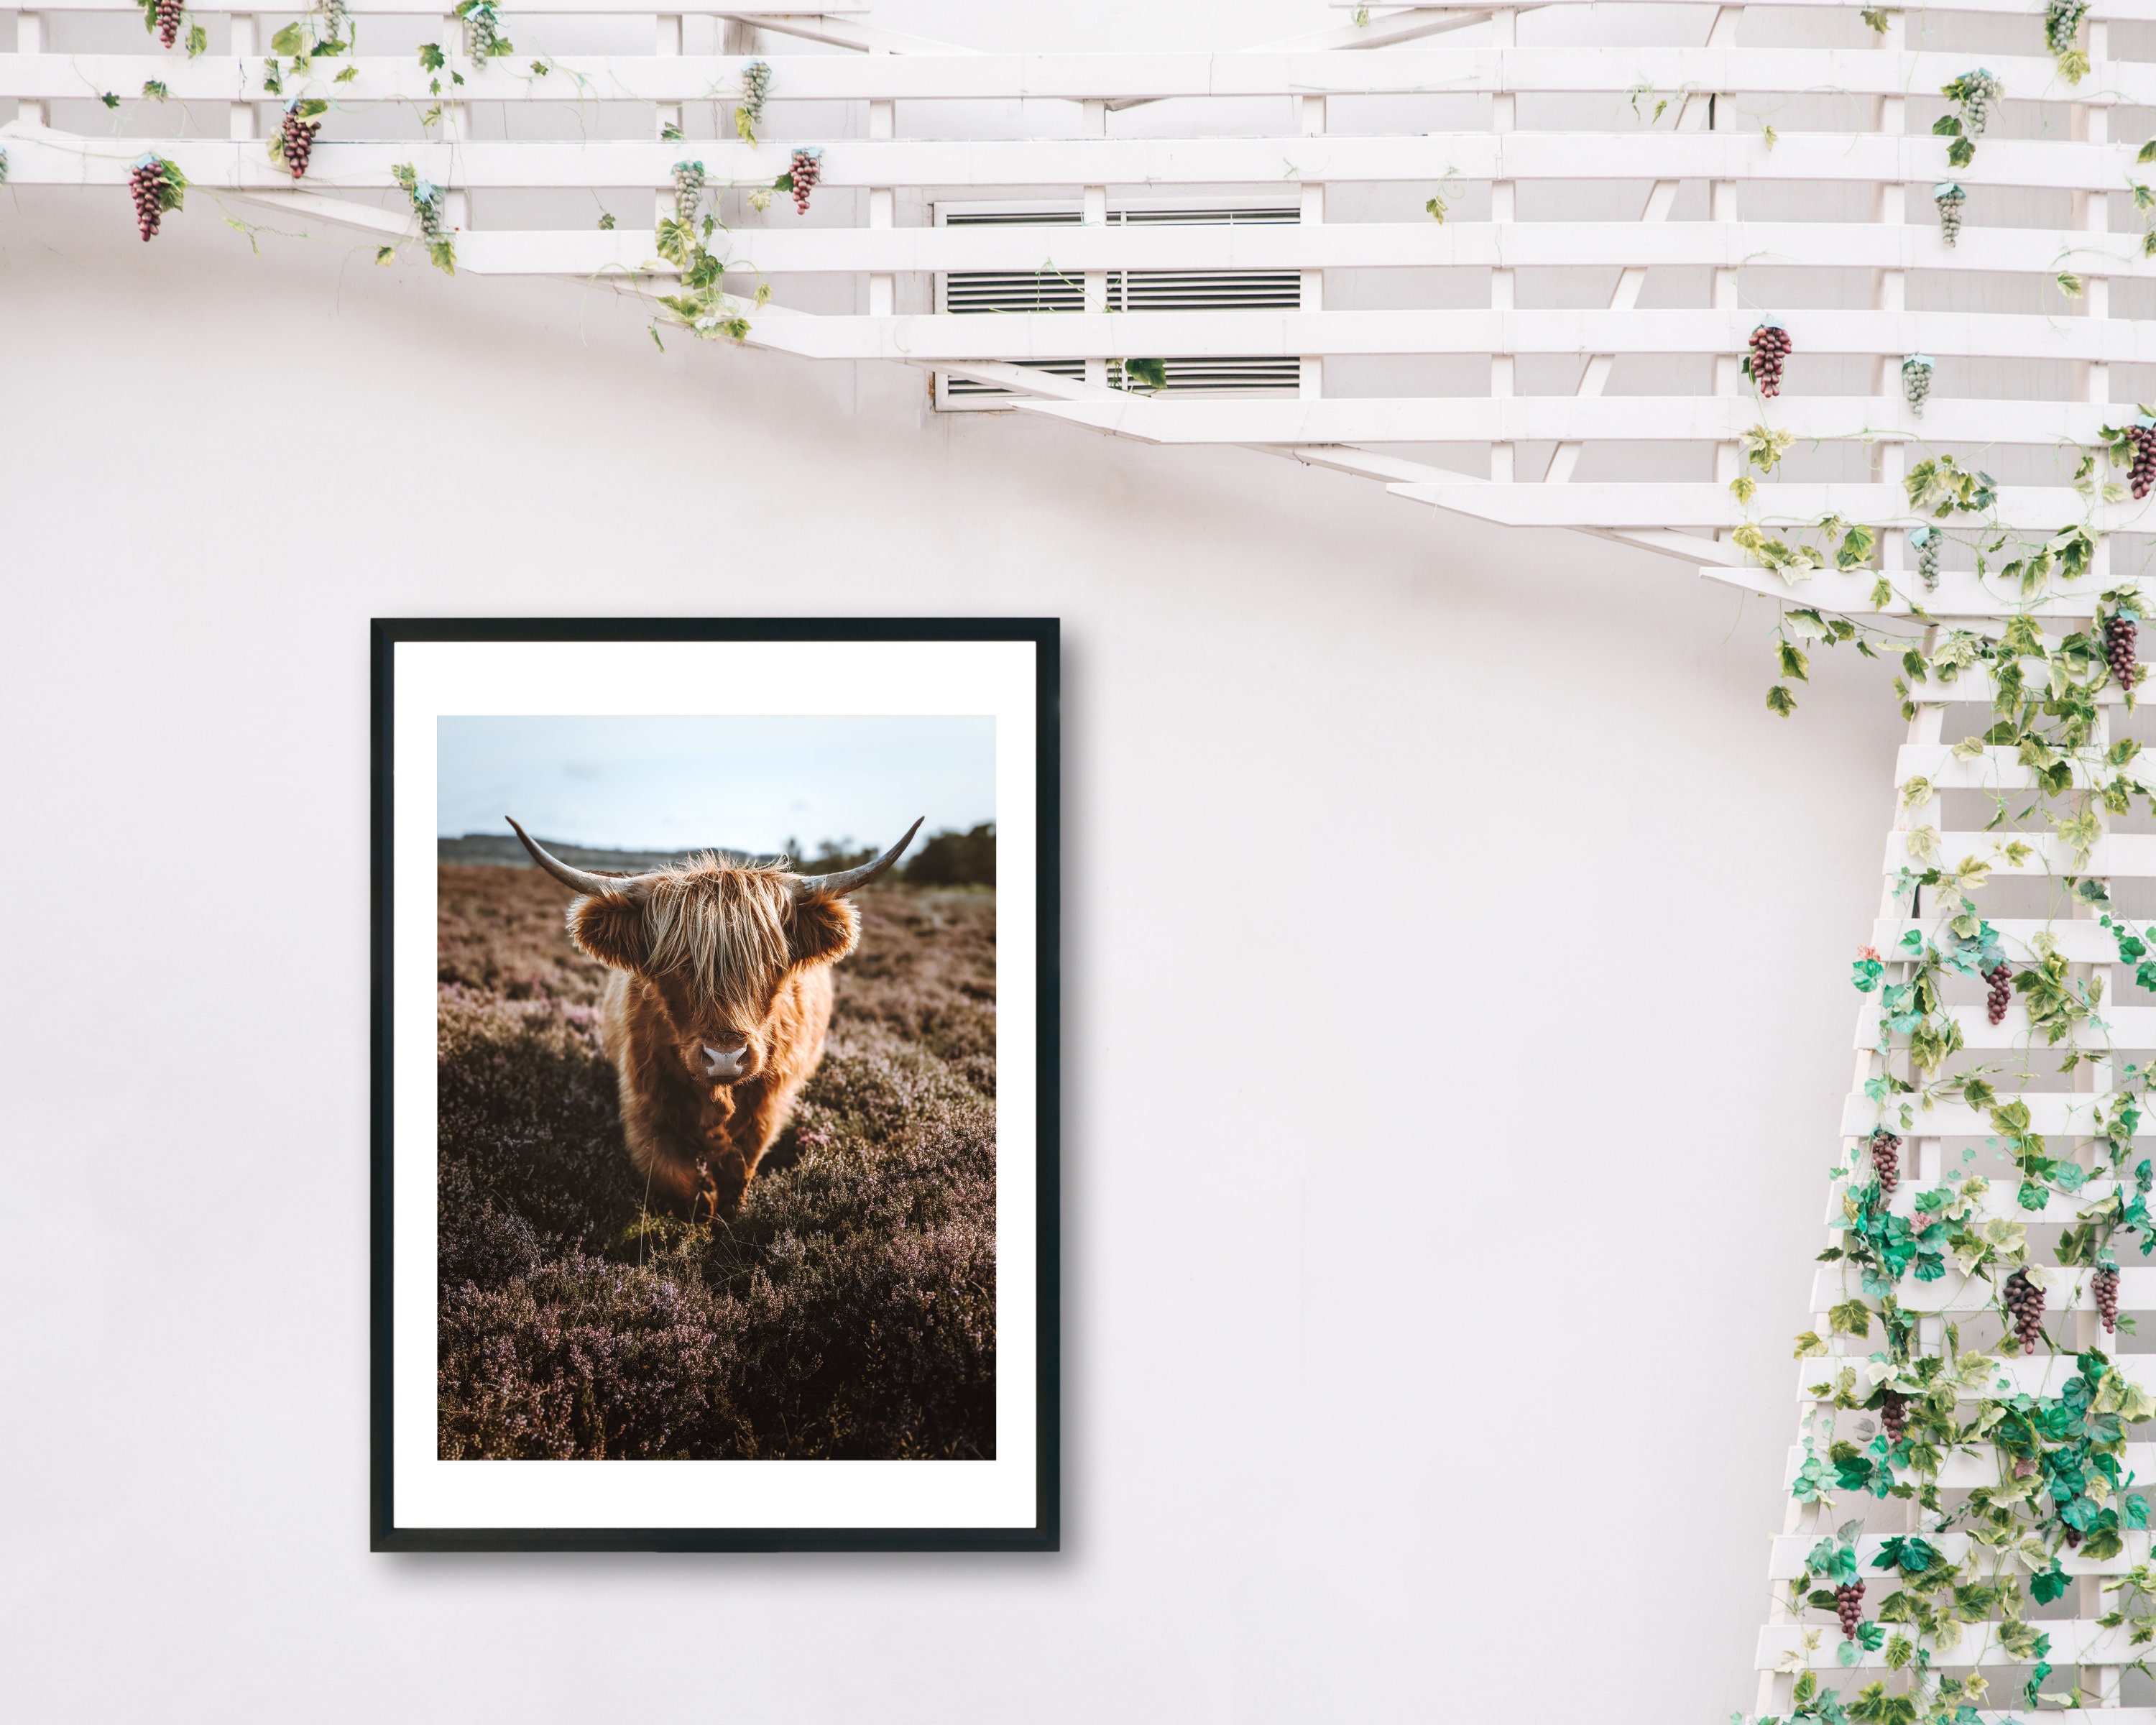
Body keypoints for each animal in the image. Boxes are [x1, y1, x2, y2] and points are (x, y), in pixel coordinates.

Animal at [506, 815, 922, 1222]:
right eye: (677, 965)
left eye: (771, 963)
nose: (725, 1057)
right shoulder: (642, 1101)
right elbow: (672, 1177)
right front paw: (703, 1205)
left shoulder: (770, 1103)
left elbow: (741, 1167)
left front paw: (730, 1210)